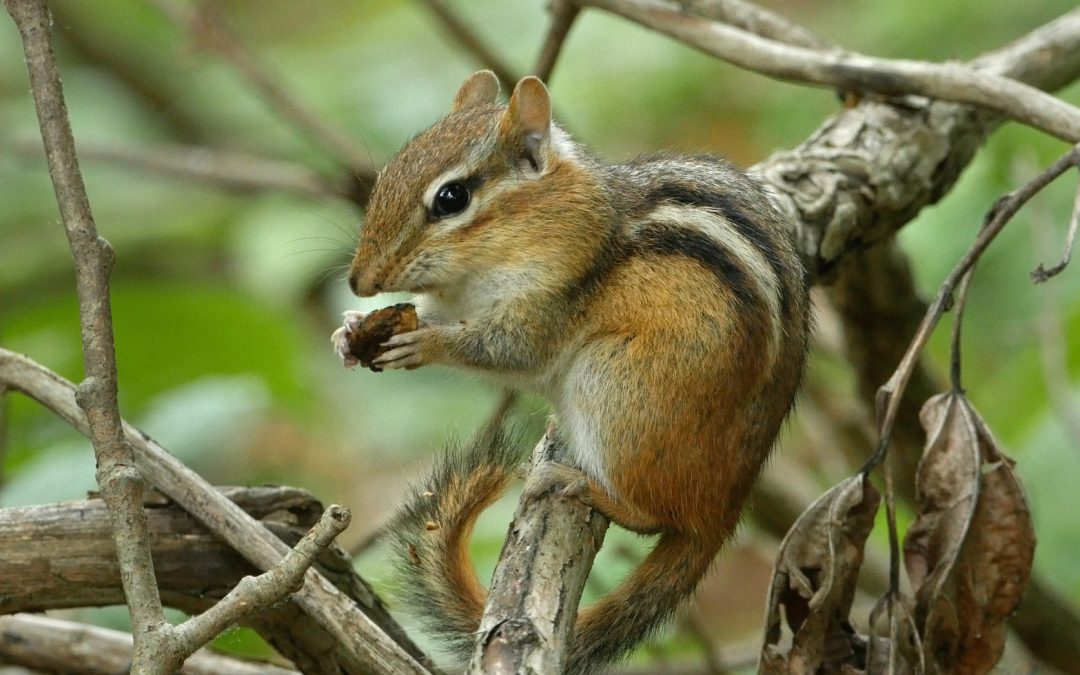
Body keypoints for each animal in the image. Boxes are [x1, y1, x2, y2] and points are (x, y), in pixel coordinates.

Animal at [332, 70, 811, 673]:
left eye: (451, 198)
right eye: (387, 174)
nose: (360, 281)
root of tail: (725, 508)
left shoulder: (551, 301)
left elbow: (509, 351)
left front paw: (422, 341)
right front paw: (350, 330)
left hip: (613, 384)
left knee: (652, 516)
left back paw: (579, 484)